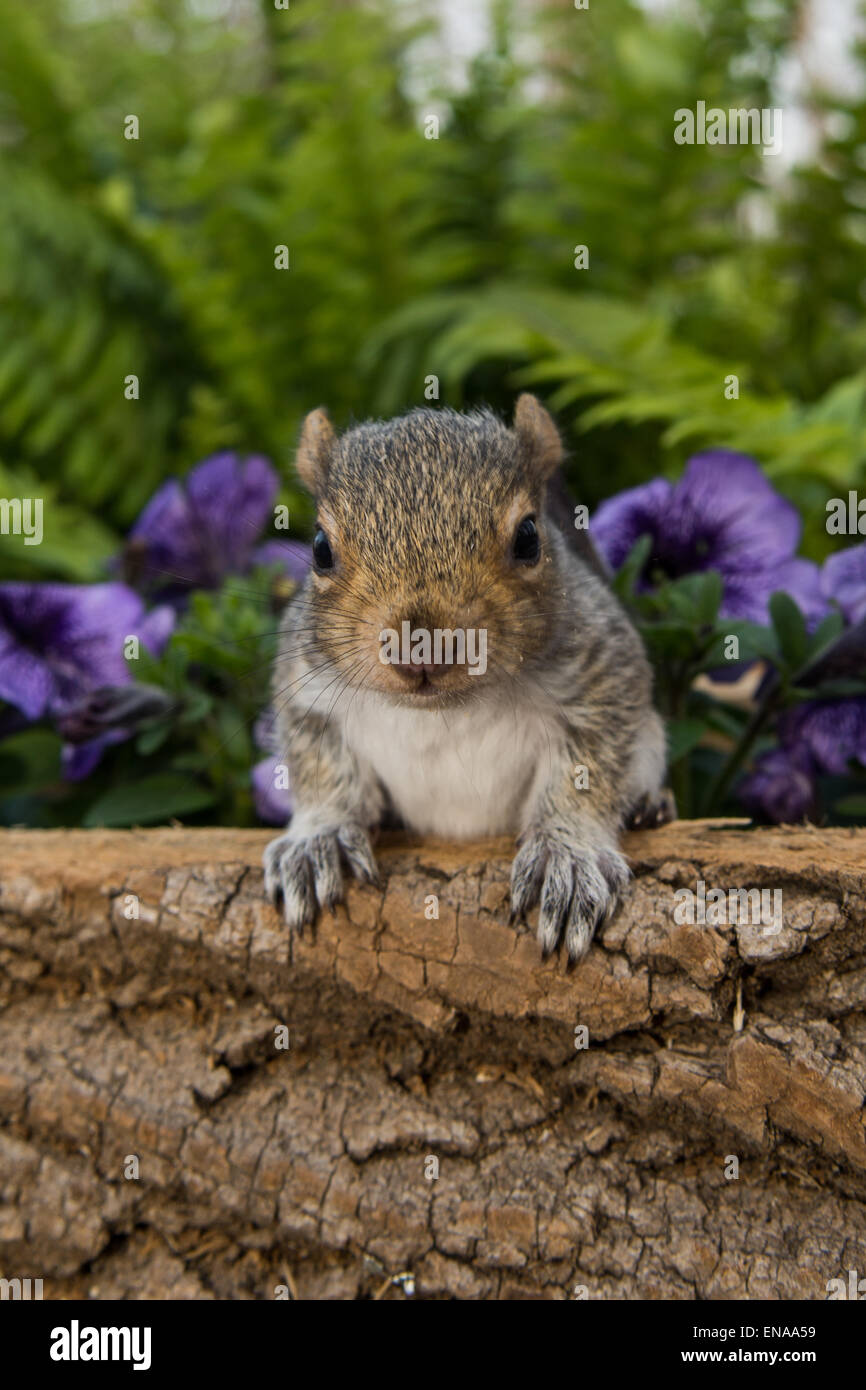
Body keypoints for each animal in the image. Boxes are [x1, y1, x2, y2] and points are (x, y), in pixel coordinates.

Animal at [263, 394, 670, 962]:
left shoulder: (602, 674)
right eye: (321, 549)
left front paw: (567, 855)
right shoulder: (310, 688)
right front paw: (318, 835)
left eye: (529, 537)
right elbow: (320, 765)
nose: (420, 646)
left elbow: (586, 770)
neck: (445, 713)